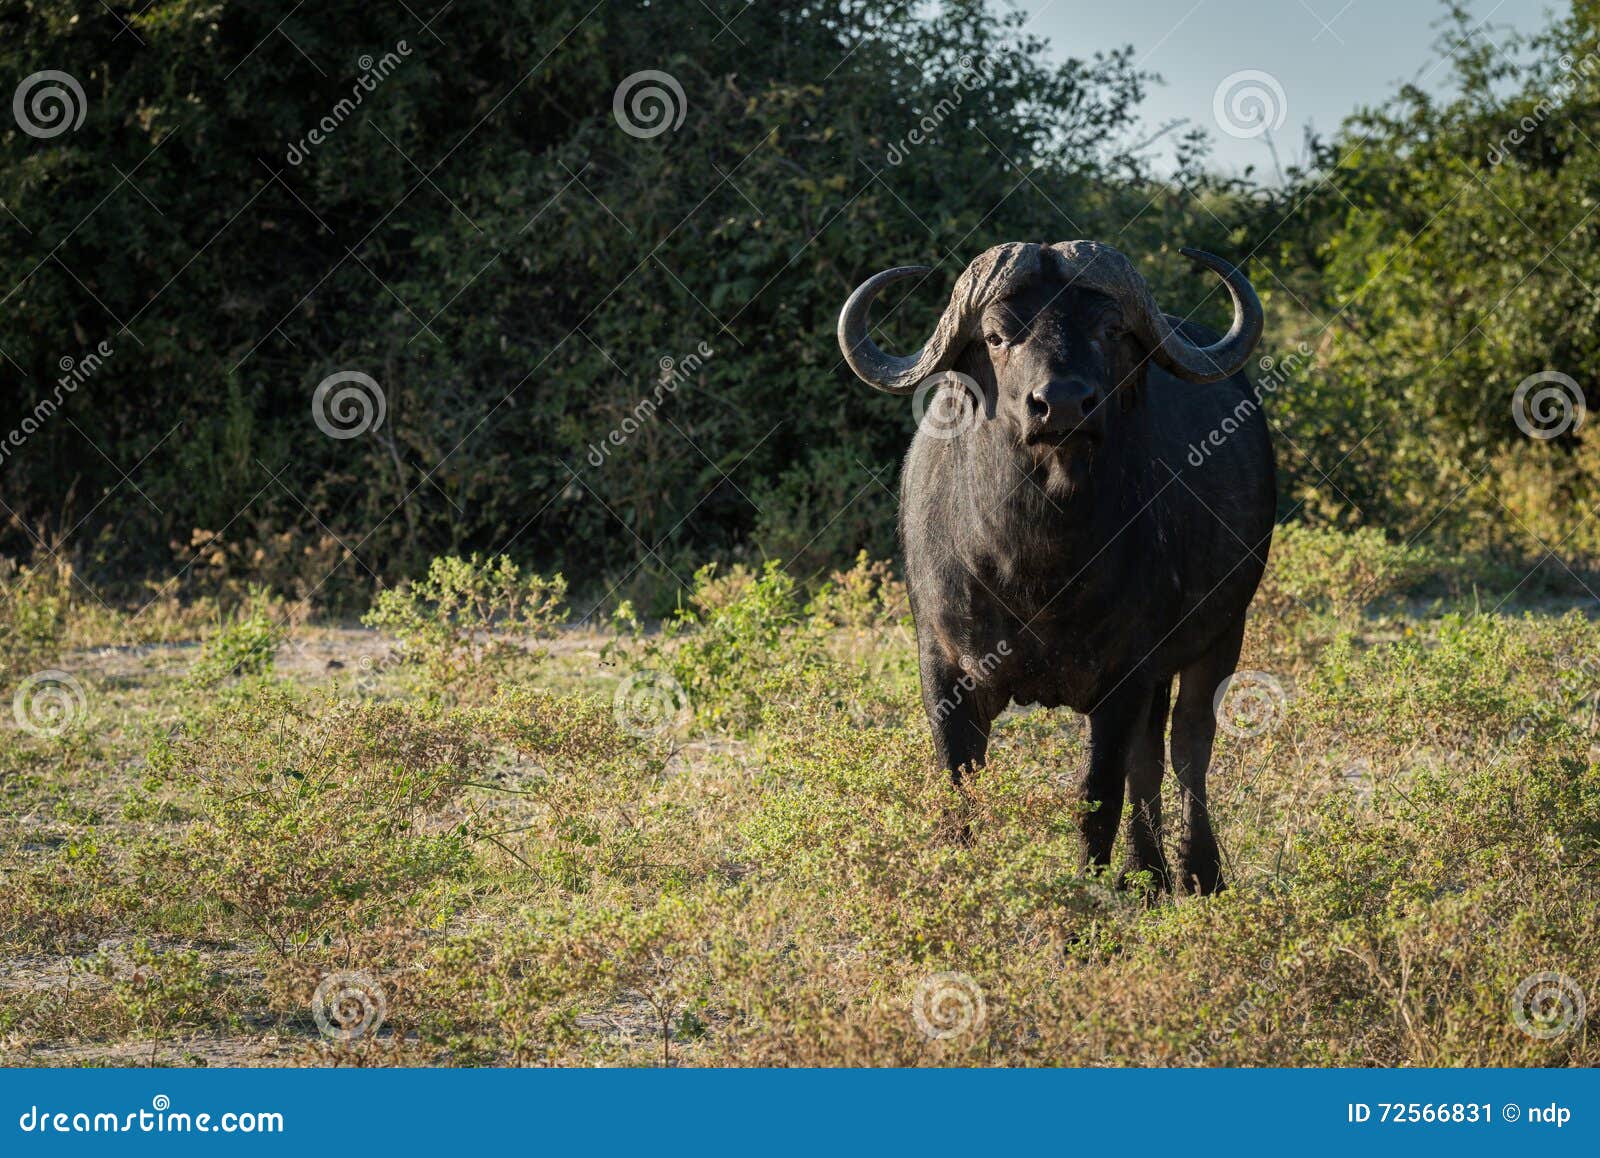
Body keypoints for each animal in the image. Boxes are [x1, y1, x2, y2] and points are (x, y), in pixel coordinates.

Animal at [837, 240, 1275, 895]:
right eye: (996, 336)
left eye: (1111, 330)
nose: (1062, 404)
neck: (1036, 565)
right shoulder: (942, 669)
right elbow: (958, 788)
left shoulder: (1125, 676)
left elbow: (1100, 795)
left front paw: (1091, 887)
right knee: (1152, 757)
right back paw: (1149, 876)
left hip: (1223, 633)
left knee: (1186, 746)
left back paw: (1198, 873)